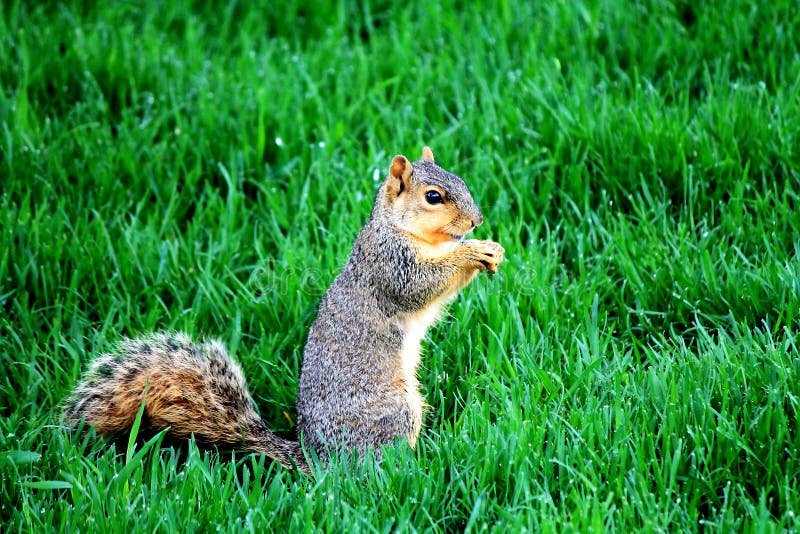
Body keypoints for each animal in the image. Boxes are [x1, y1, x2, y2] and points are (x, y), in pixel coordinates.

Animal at [64, 147, 505, 474]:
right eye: (433, 196)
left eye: (460, 181)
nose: (477, 220)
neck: (404, 230)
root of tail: (318, 459)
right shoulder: (389, 264)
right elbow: (420, 286)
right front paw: (472, 251)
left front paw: (490, 250)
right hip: (394, 410)